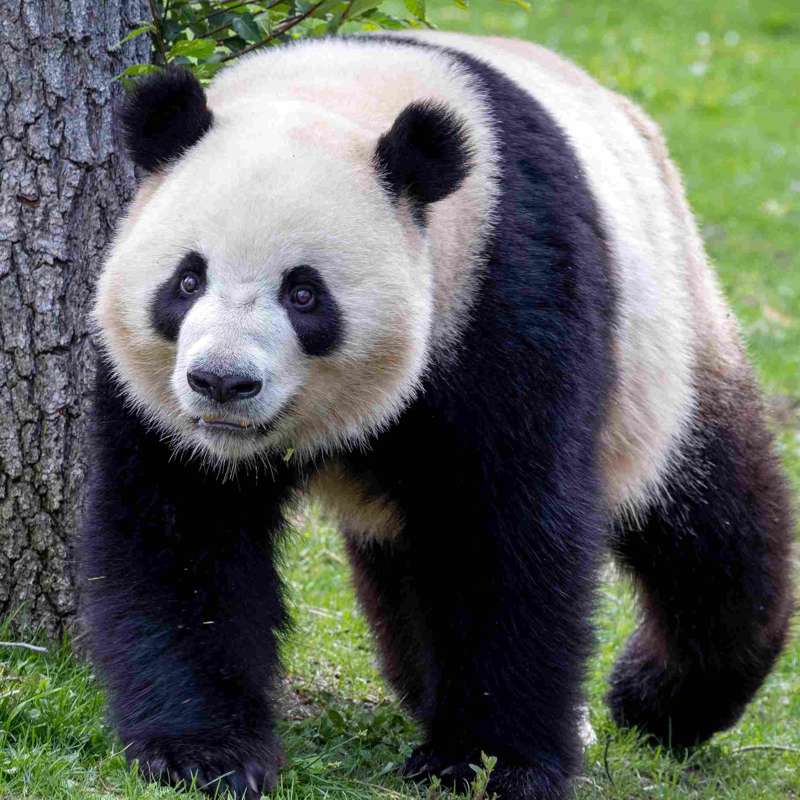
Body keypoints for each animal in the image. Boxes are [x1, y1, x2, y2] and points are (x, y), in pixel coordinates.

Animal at [81, 31, 795, 800]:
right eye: (187, 281)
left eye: (304, 294)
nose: (222, 382)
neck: (340, 92)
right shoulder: (153, 396)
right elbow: (181, 533)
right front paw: (202, 754)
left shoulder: (507, 288)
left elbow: (505, 534)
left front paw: (487, 761)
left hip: (668, 341)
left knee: (710, 521)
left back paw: (658, 698)